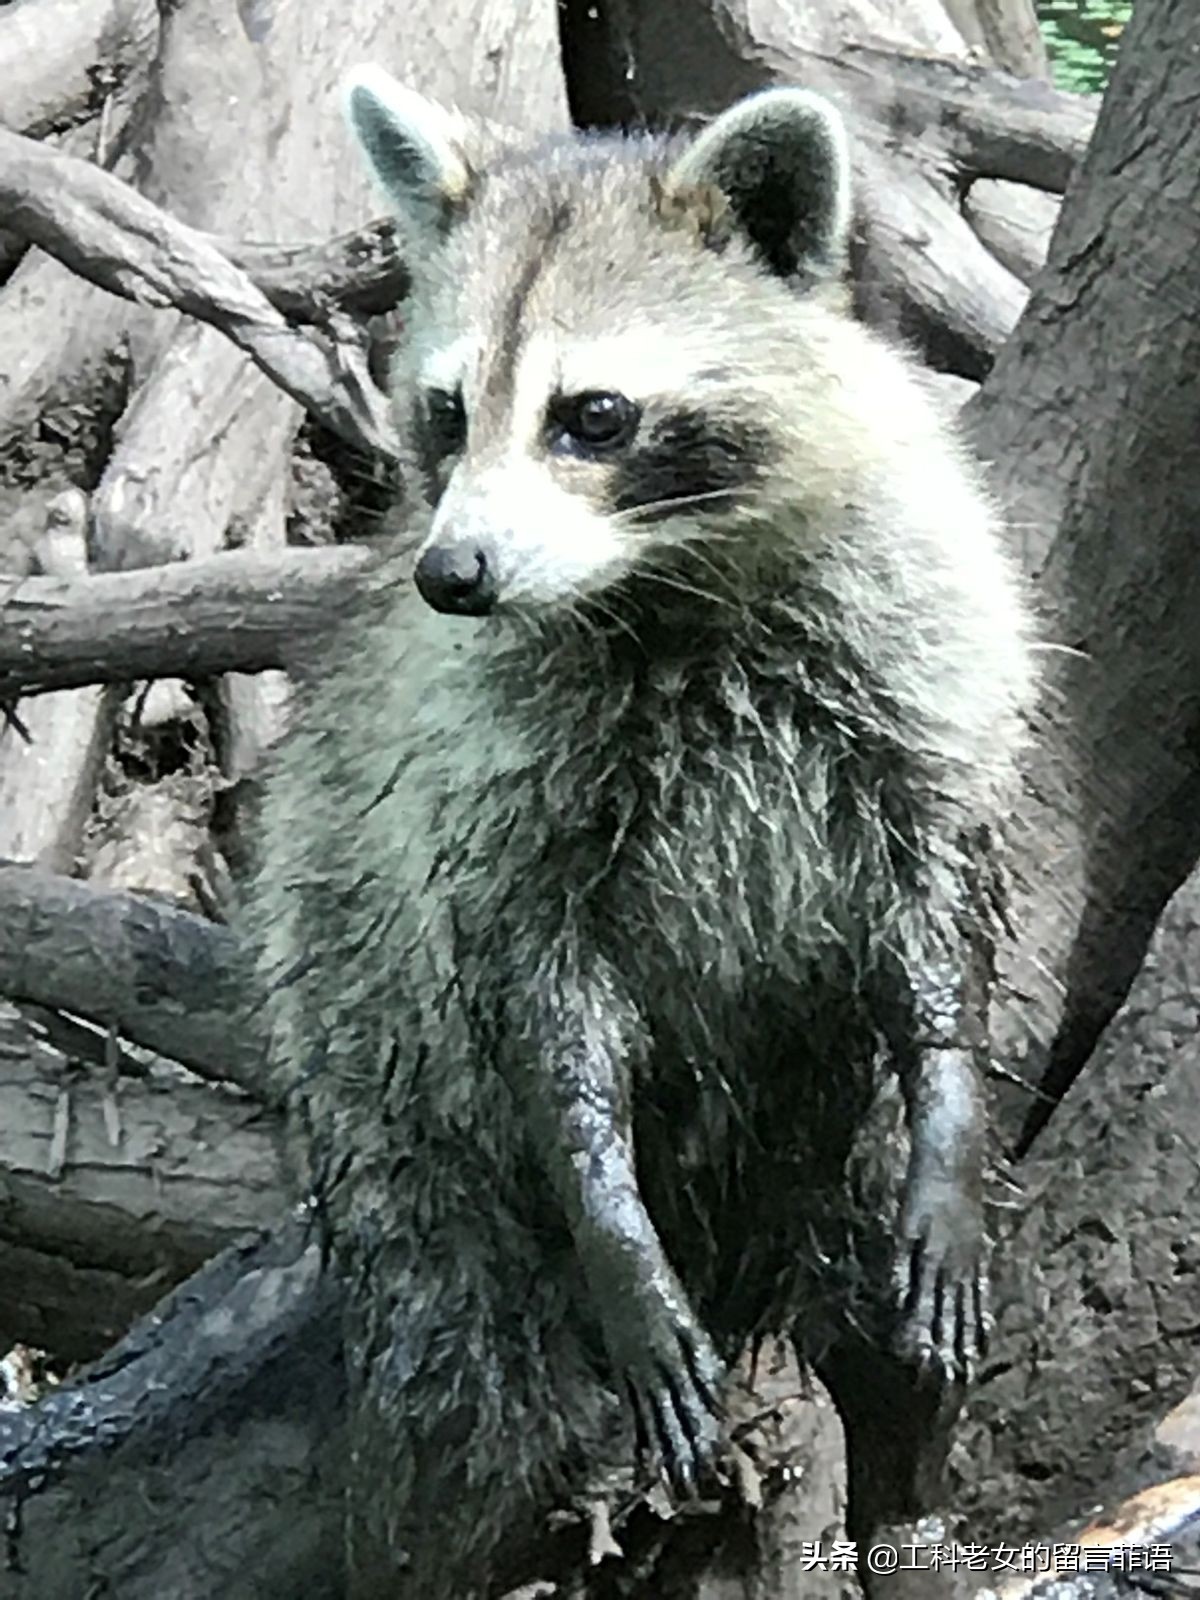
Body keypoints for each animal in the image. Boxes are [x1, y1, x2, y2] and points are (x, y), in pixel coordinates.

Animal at [239, 69, 1036, 1598]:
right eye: (446, 409)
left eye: (592, 415)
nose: (450, 575)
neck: (666, 577)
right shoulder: (494, 776)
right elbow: (542, 1003)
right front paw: (619, 1235)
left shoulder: (914, 640)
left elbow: (931, 899)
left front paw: (952, 1096)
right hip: (399, 1138)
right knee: (467, 1407)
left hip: (825, 1155)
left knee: (883, 1322)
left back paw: (913, 1505)